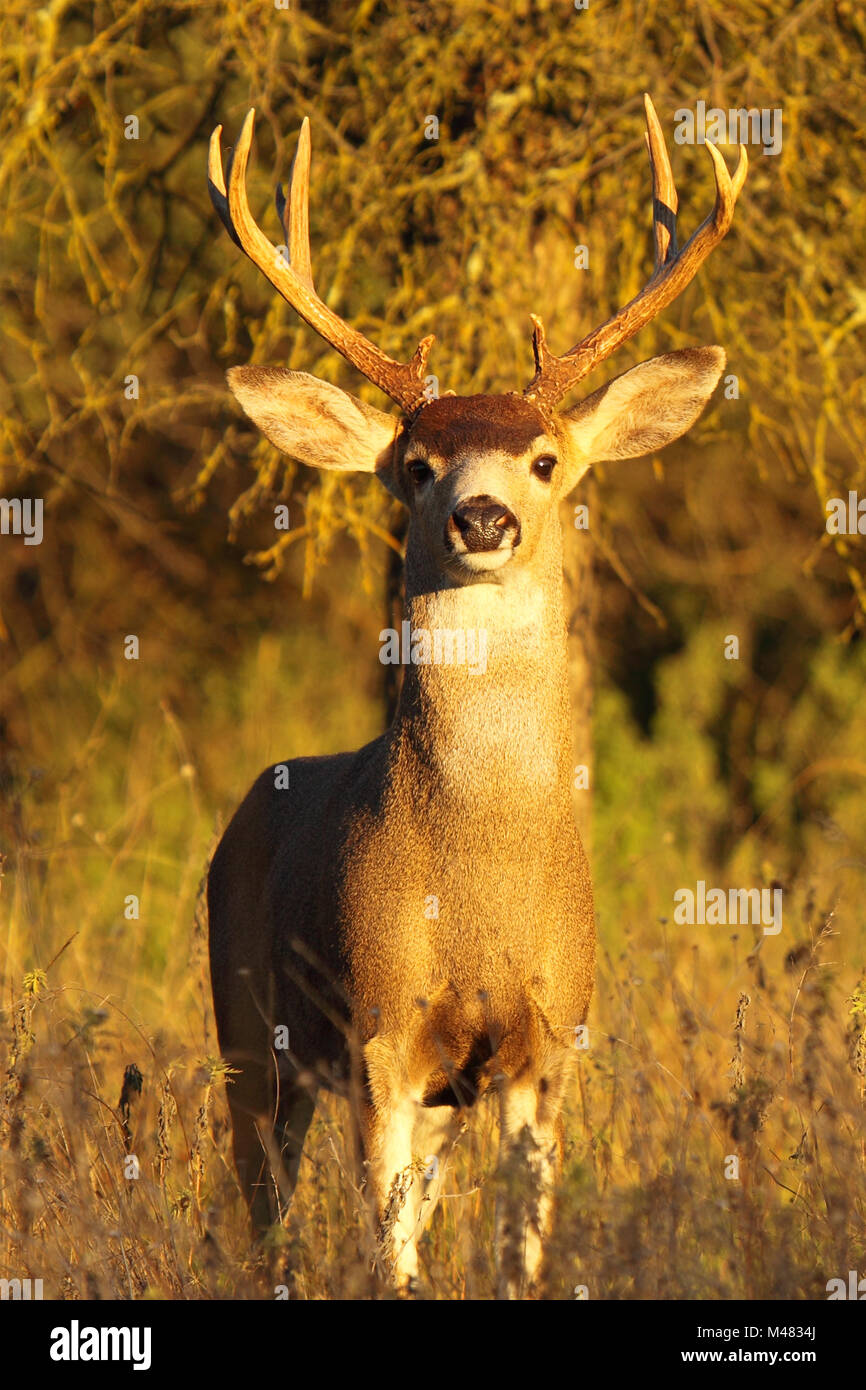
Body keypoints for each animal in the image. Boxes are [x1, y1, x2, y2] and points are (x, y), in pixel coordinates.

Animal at [205, 94, 747, 1297]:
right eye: (413, 464)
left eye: (543, 459)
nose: (482, 517)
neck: (478, 882)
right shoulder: (378, 1039)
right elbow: (391, 1258)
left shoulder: (543, 1045)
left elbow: (516, 1251)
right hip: (245, 1029)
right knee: (261, 1211)